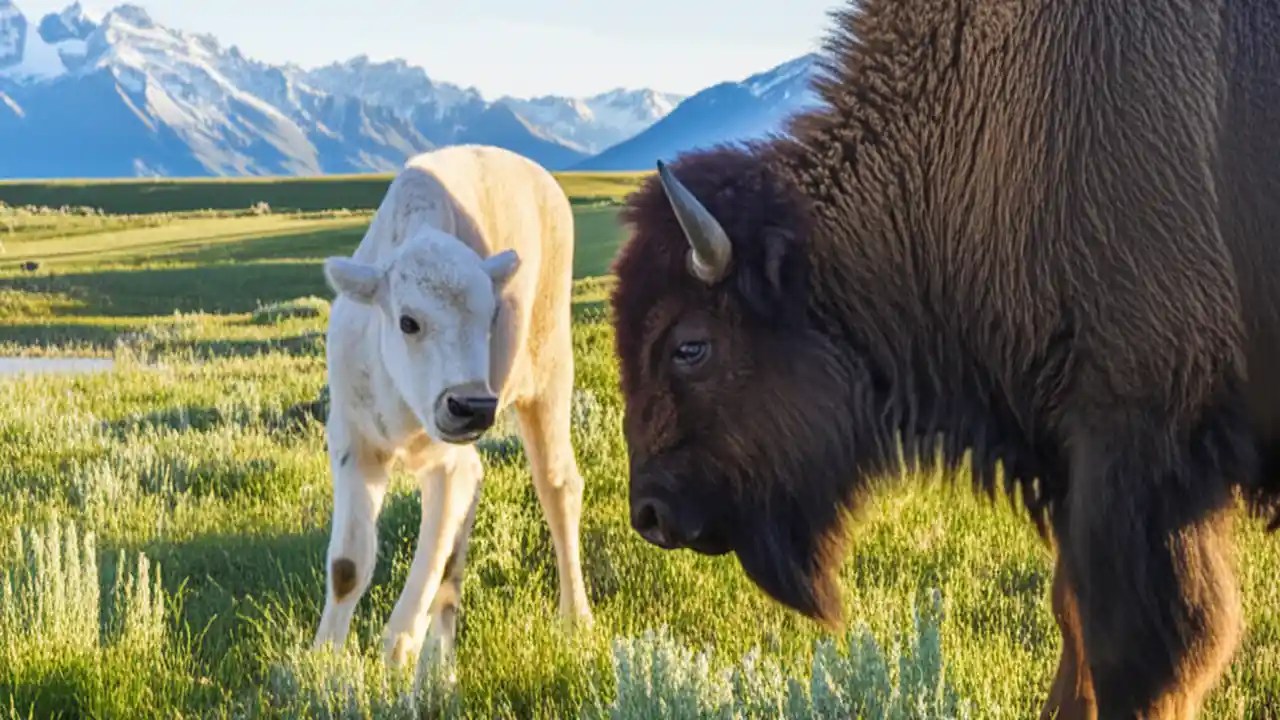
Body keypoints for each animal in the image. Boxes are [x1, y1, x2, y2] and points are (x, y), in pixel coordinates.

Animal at [312, 145, 593, 679]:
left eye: (492, 316)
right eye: (408, 321)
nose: (472, 406)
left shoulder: (448, 464)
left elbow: (428, 568)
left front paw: (398, 661)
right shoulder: (355, 443)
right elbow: (348, 566)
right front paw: (324, 664)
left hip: (549, 378)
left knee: (558, 486)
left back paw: (576, 622)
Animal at [608, 1, 1280, 718]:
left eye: (690, 346)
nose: (649, 513)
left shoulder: (1135, 445)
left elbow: (1144, 650)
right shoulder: (1070, 468)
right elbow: (1072, 619)